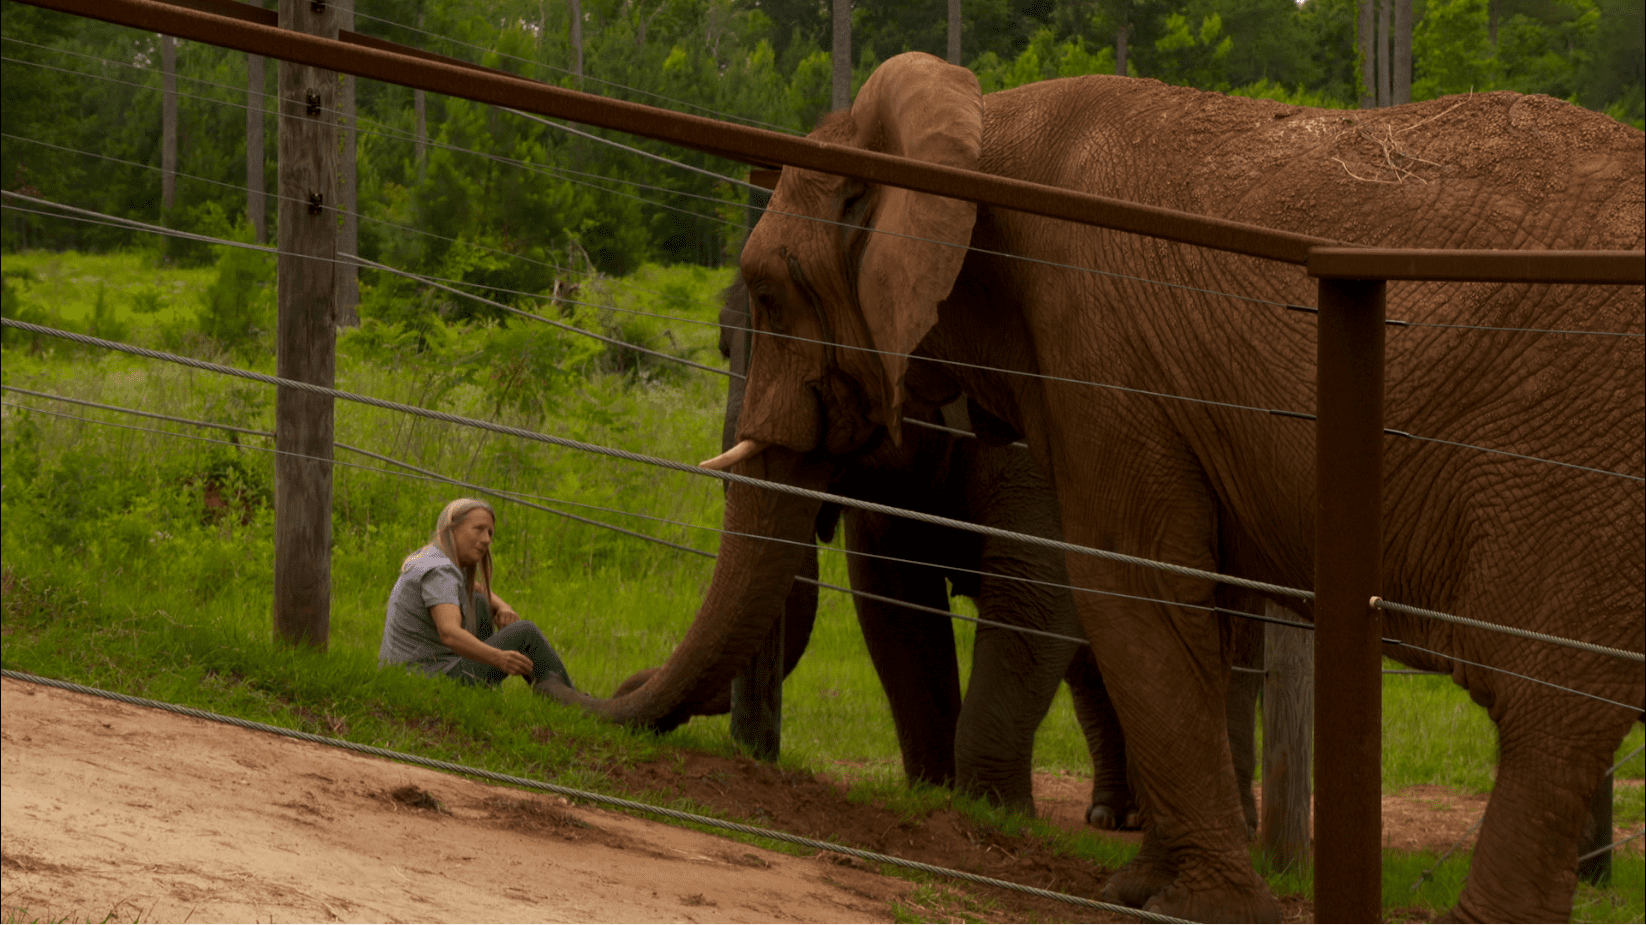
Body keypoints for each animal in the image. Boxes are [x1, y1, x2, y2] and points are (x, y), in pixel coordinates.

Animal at [546, 55, 1642, 921]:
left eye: (771, 295)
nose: (539, 668)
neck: (977, 128)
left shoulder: (1098, 349)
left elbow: (1122, 585)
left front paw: (1175, 901)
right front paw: (1117, 878)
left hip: (1573, 456)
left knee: (1550, 708)